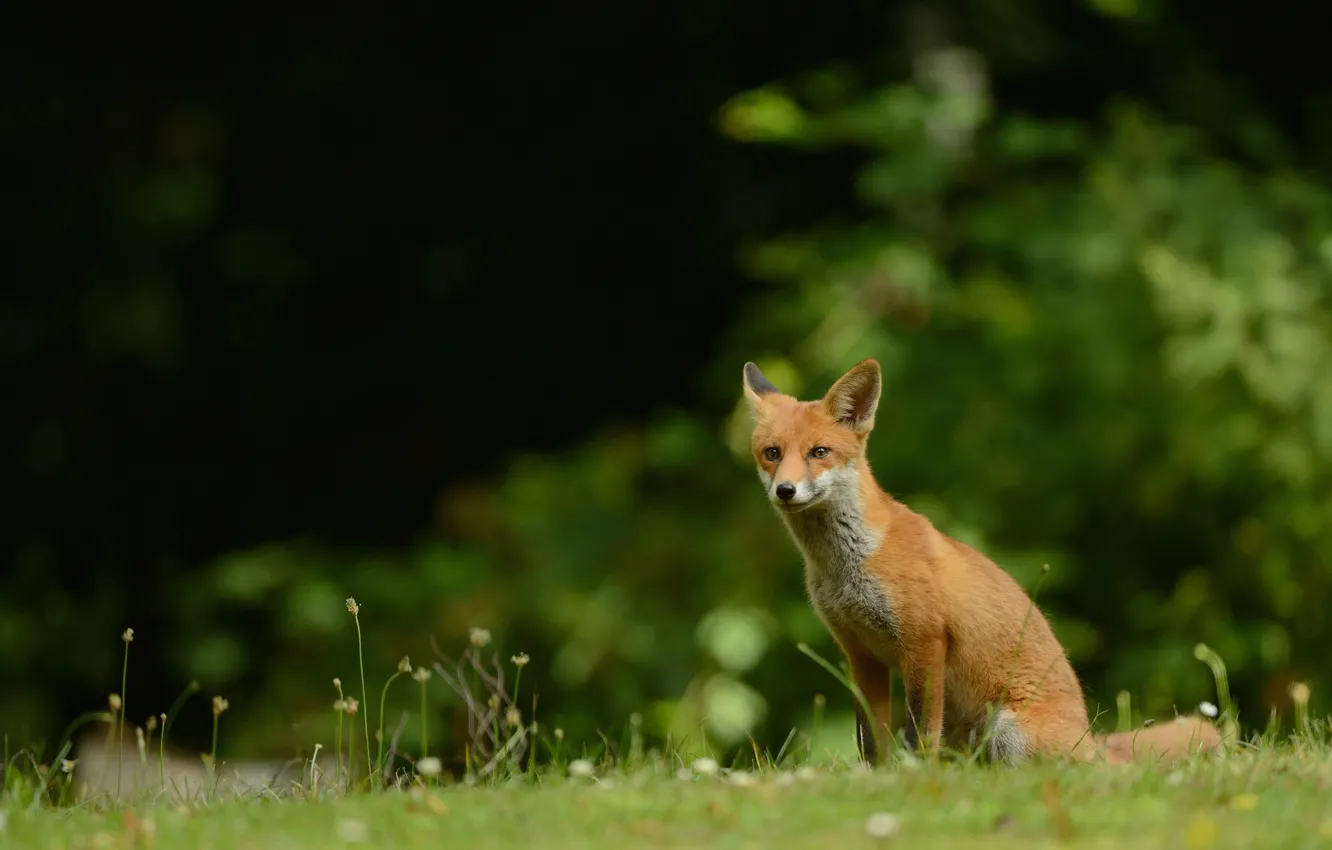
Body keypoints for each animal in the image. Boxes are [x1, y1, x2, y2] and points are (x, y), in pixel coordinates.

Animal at [741, 357, 1223, 765]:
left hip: (1007, 729)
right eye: (772, 453)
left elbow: (919, 733)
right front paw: (875, 779)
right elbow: (869, 739)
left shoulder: (925, 640)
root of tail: (1091, 742)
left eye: (819, 452)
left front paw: (915, 778)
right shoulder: (860, 654)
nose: (785, 491)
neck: (846, 565)